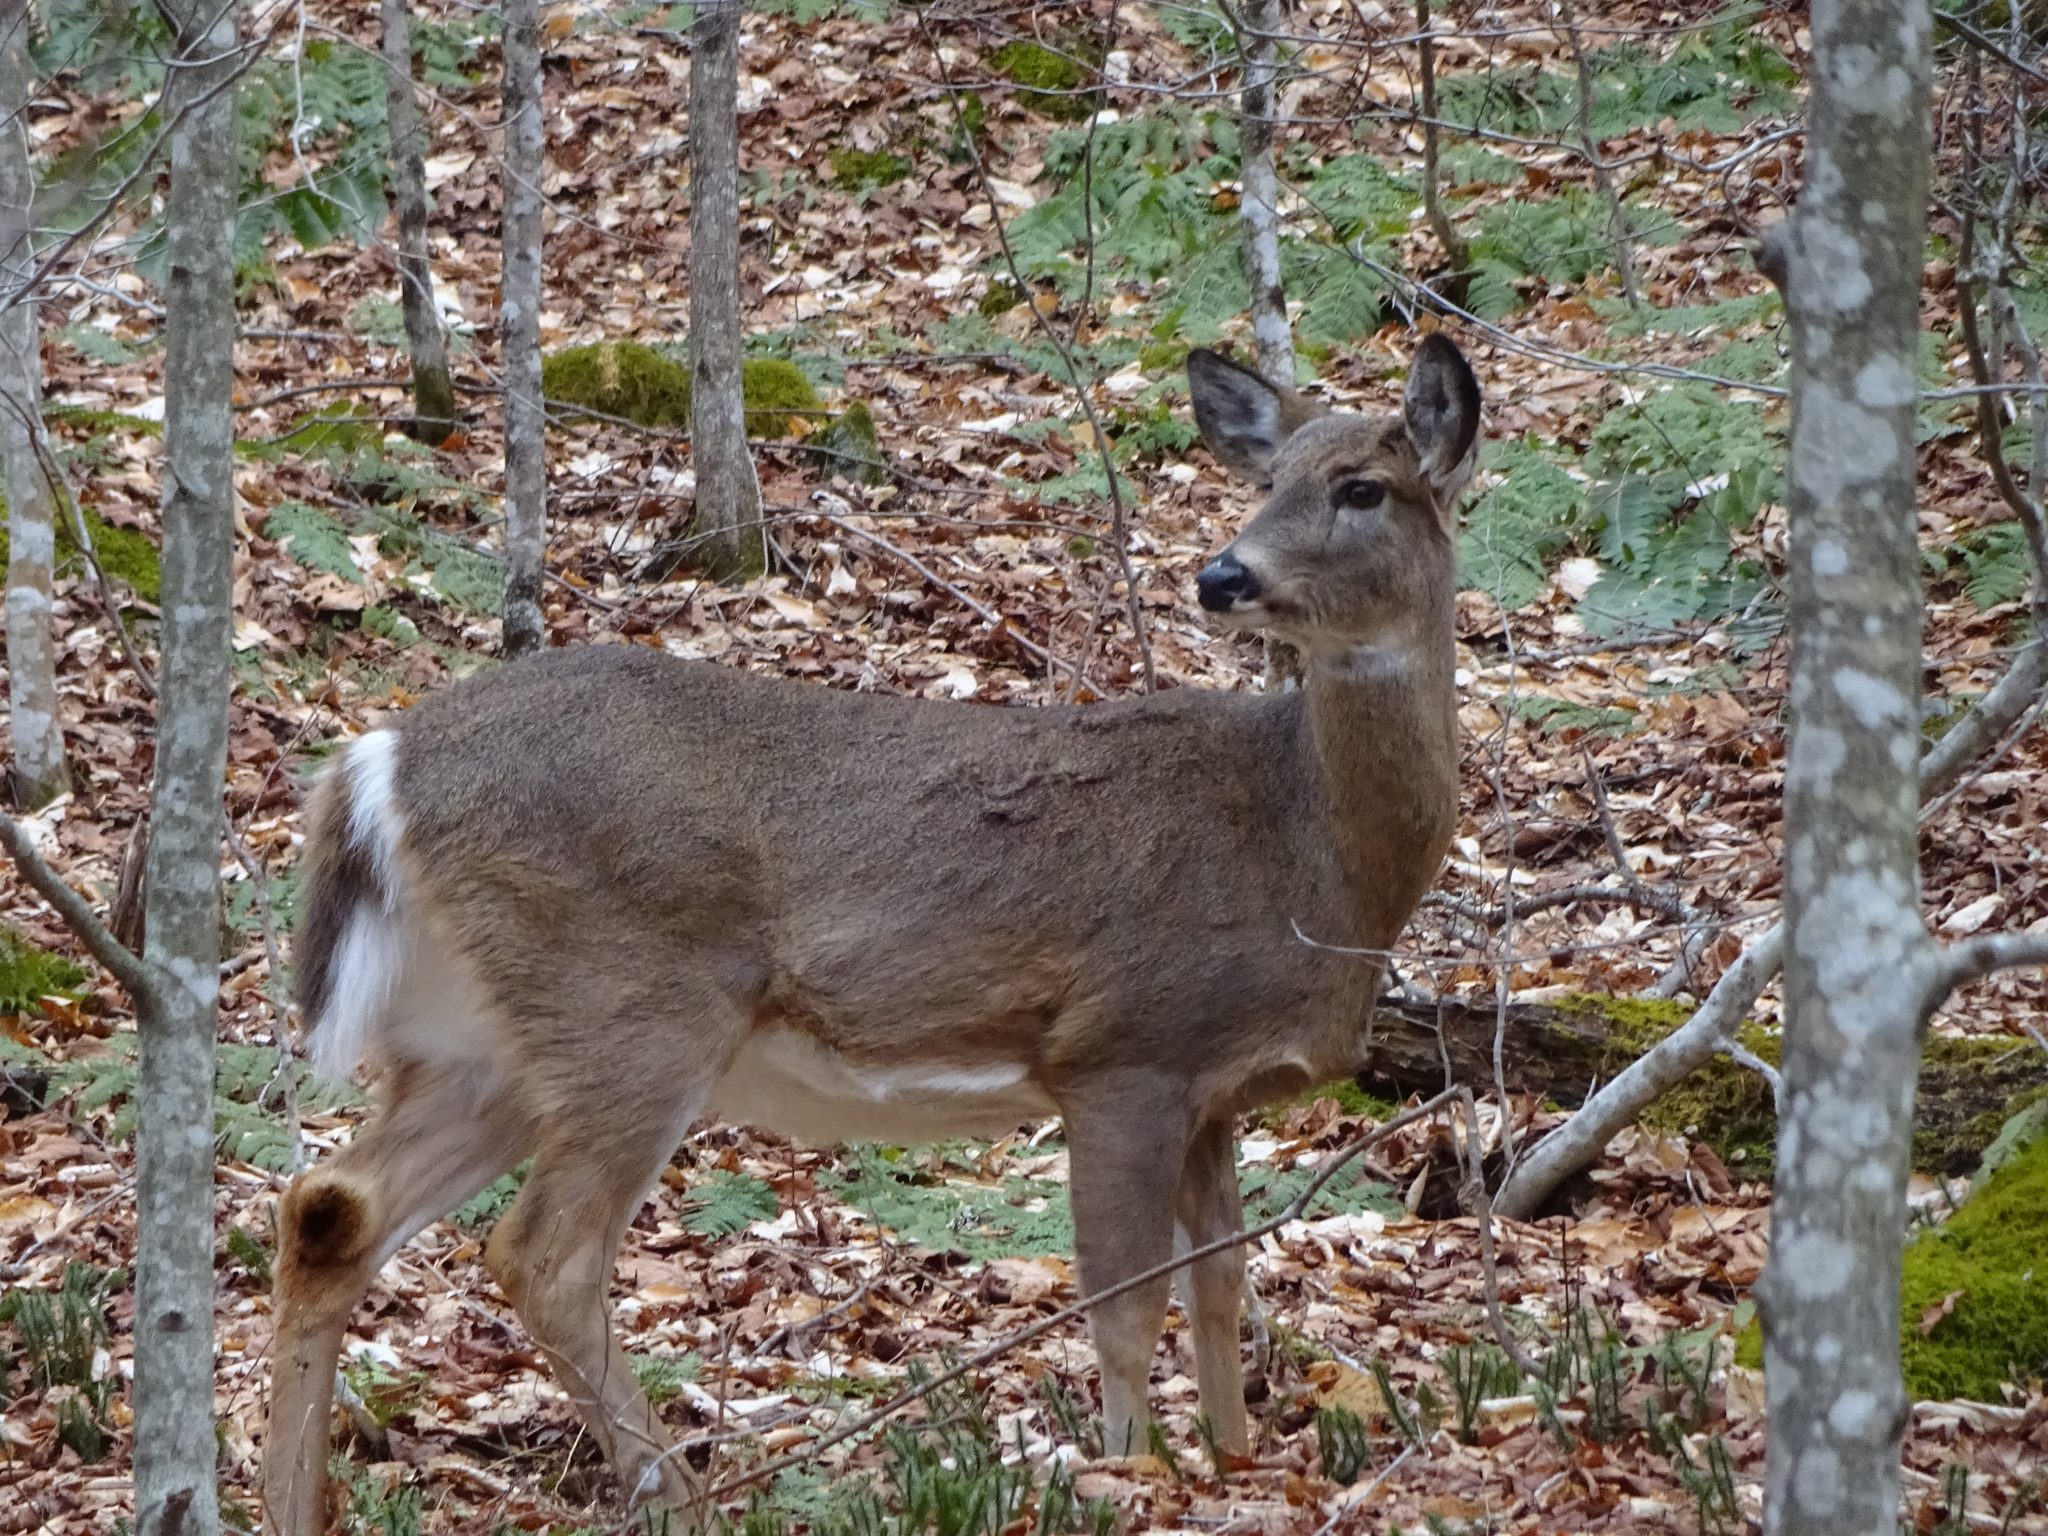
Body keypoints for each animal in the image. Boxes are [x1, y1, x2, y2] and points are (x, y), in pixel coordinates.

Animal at [262, 334, 1480, 1534]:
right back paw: (687, 1498)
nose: (1223, 575)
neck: (1306, 855)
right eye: (1270, 484)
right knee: (541, 1255)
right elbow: (1125, 1307)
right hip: (629, 1006)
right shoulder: (1123, 1050)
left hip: (485, 1041)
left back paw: (292, 1503)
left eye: (1360, 488)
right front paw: (1130, 1478)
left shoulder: (1211, 1089)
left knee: (331, 1207)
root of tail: (378, 762)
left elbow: (1219, 1289)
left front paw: (1231, 1465)